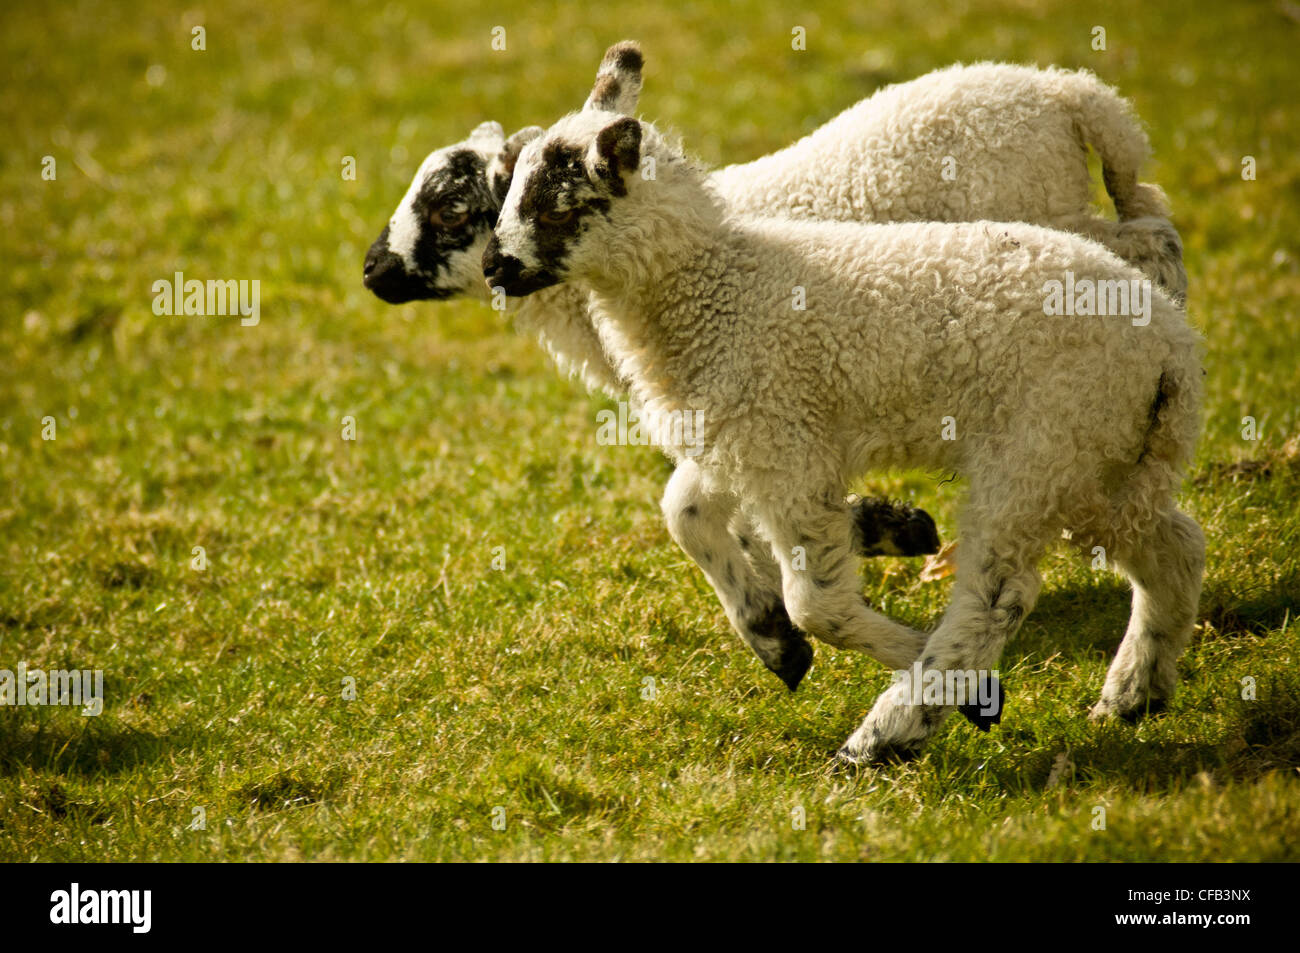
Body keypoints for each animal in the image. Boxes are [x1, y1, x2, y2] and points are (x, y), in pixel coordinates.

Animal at [483, 107, 1205, 763]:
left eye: (557, 210)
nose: (494, 268)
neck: (714, 286)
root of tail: (1172, 346)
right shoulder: (744, 439)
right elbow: (688, 513)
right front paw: (778, 636)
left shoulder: (785, 448)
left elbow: (814, 604)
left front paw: (935, 674)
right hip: (1102, 460)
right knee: (1175, 548)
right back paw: (1131, 696)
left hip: (1040, 450)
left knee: (999, 598)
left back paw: (890, 731)